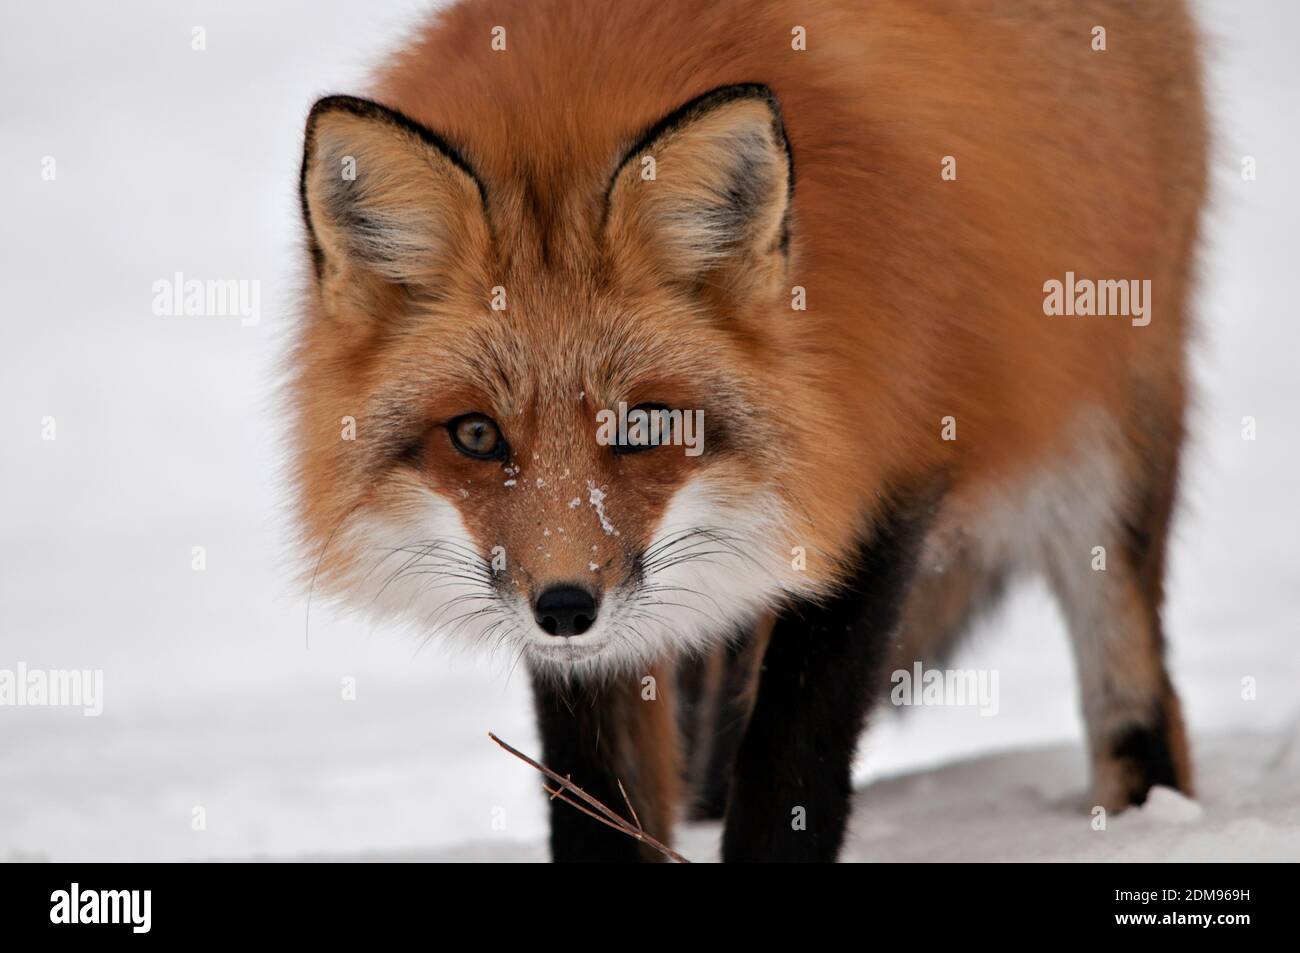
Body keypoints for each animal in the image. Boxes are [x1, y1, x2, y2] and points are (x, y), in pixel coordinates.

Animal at [290, 0, 1207, 861]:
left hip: (1104, 460)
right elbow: (597, 793)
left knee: (1139, 701)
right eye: (477, 436)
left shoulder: (874, 479)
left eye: (645, 421)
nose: (565, 608)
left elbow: (790, 766)